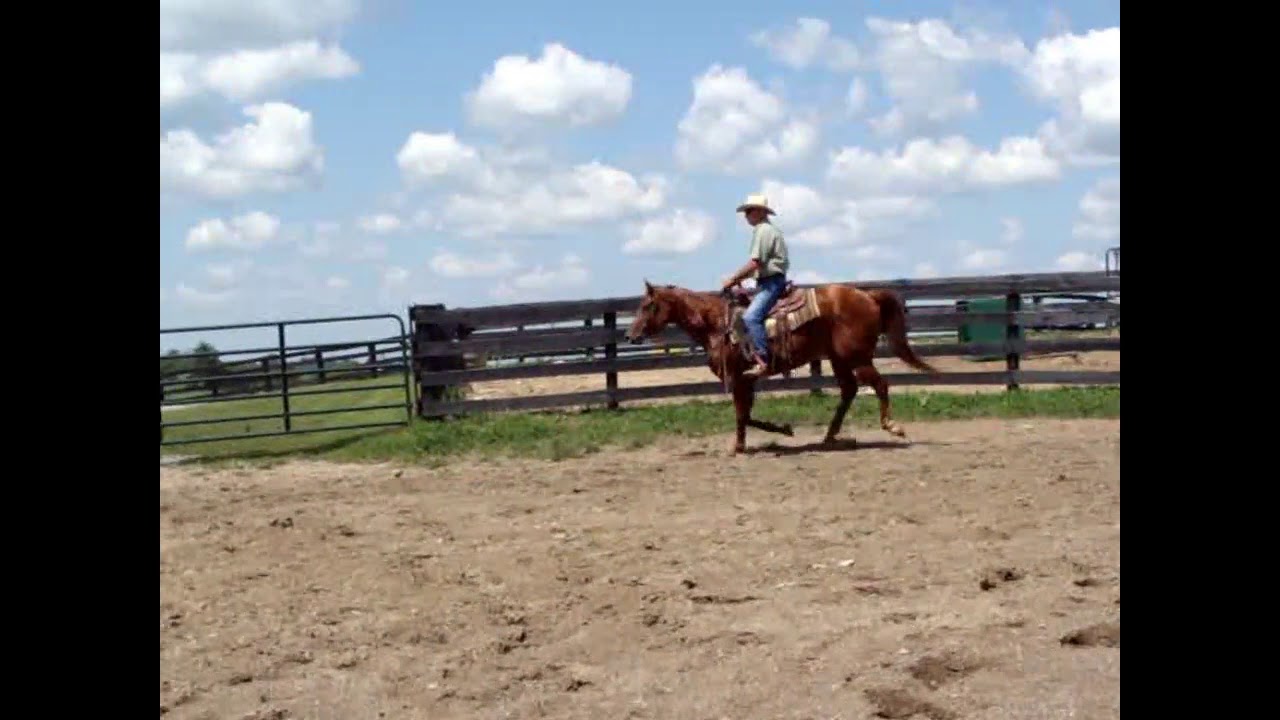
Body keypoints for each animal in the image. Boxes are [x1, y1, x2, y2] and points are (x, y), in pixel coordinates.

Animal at [624, 280, 941, 454]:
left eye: (647, 306)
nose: (630, 335)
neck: (716, 323)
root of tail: (867, 295)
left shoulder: (738, 378)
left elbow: (741, 415)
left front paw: (739, 447)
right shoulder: (747, 380)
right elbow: (746, 416)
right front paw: (783, 430)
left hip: (857, 358)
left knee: (879, 384)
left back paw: (892, 427)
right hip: (838, 359)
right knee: (849, 390)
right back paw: (830, 435)